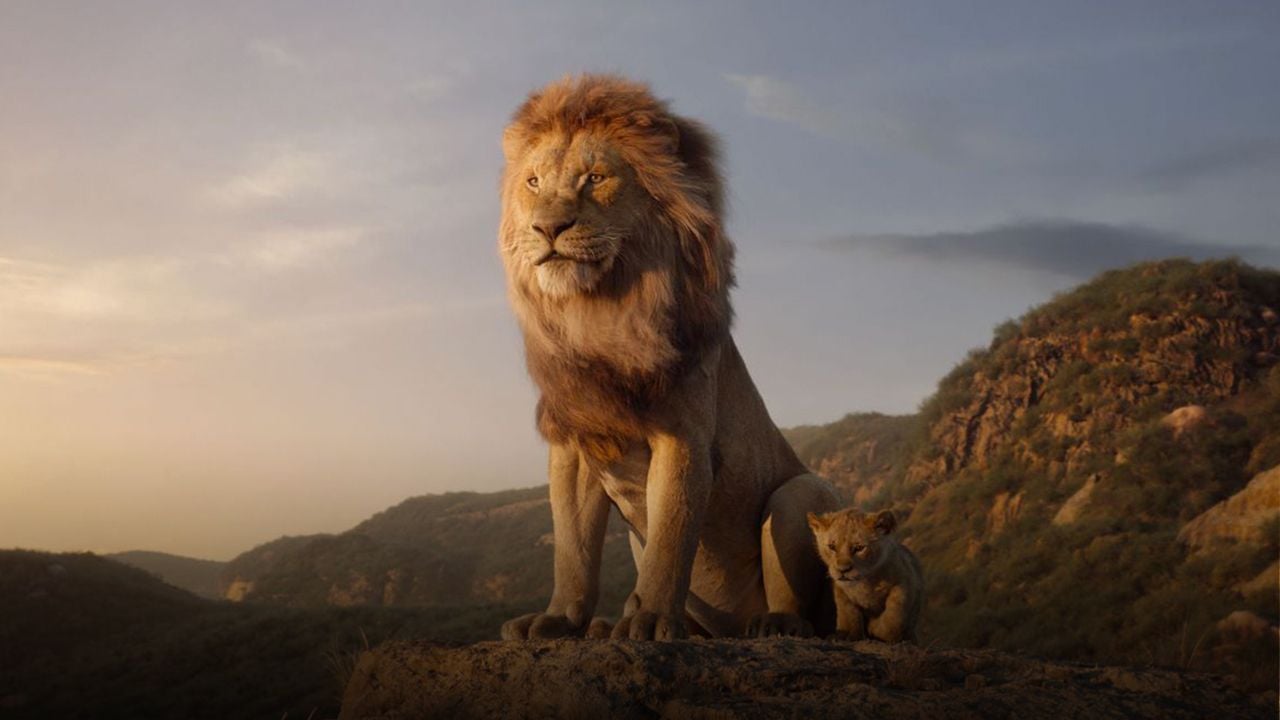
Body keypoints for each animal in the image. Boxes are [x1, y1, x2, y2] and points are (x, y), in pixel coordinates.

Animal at [497, 74, 840, 641]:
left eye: (595, 178)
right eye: (533, 183)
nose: (548, 228)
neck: (599, 313)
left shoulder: (683, 437)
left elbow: (671, 538)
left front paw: (653, 619)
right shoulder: (575, 443)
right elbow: (573, 548)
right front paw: (559, 619)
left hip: (800, 493)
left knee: (802, 604)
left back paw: (772, 625)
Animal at [807, 509, 923, 643]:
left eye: (859, 548)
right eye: (832, 546)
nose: (843, 570)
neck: (864, 581)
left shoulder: (904, 581)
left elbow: (894, 615)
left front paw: (877, 628)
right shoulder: (841, 591)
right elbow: (848, 613)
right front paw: (846, 634)